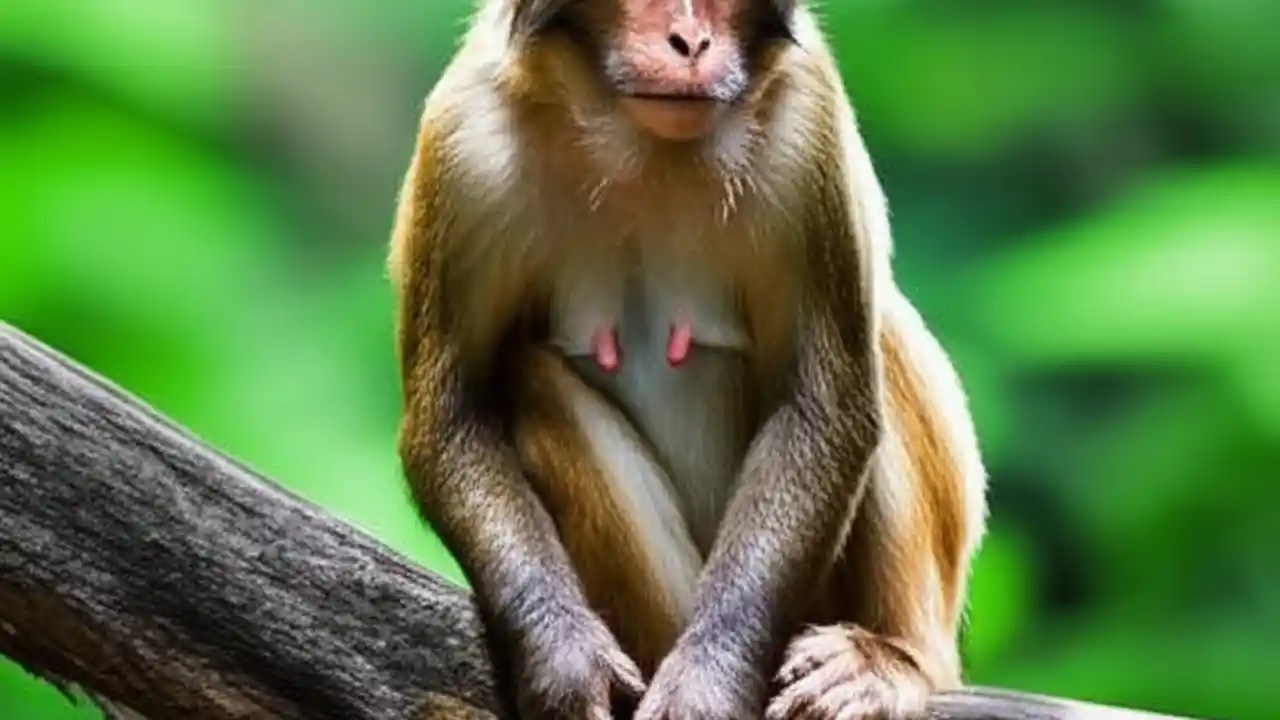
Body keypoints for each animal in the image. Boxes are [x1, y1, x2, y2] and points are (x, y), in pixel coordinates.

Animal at [388, 0, 987, 718]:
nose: (690, 41)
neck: (634, 143)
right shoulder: (463, 141)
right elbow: (453, 421)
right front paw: (563, 656)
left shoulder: (807, 121)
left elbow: (821, 409)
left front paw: (709, 679)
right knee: (528, 378)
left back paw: (897, 656)